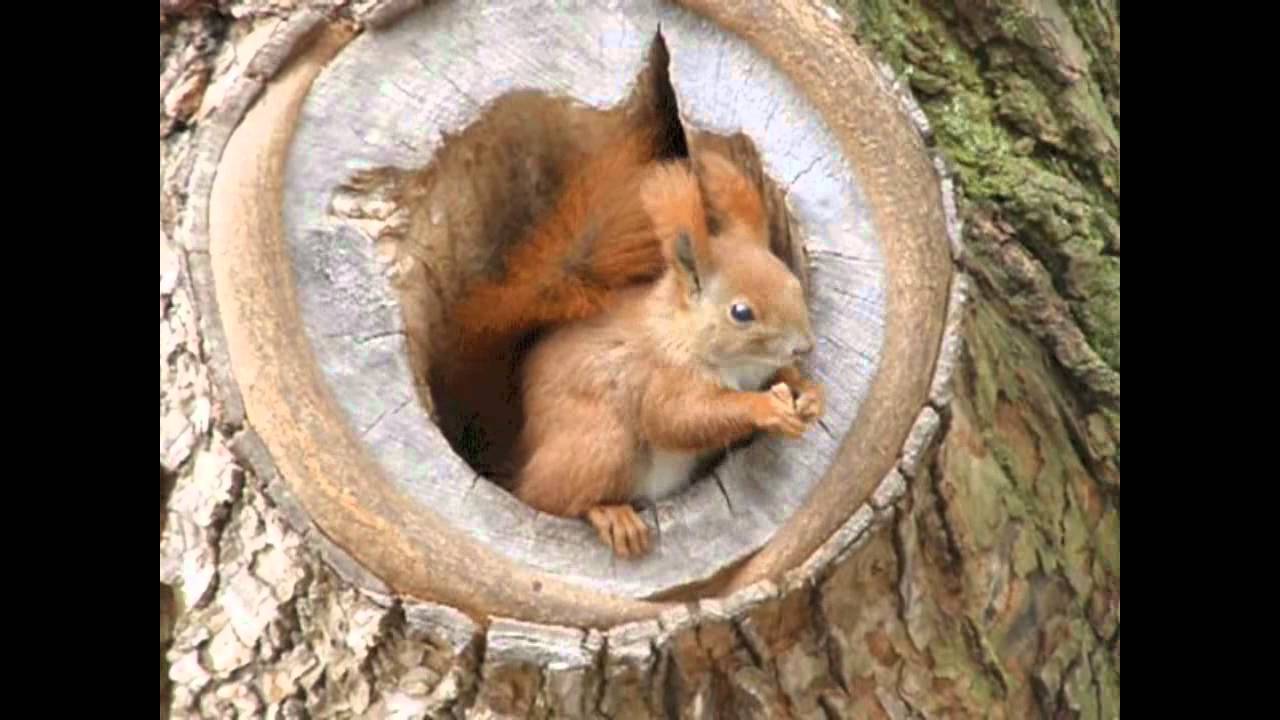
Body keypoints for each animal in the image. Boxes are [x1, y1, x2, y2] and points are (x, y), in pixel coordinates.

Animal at [509, 150, 825, 557]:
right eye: (741, 312)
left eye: (793, 281)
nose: (805, 346)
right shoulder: (659, 375)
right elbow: (677, 418)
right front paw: (765, 407)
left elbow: (783, 377)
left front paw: (811, 395)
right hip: (599, 442)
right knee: (547, 496)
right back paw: (612, 515)